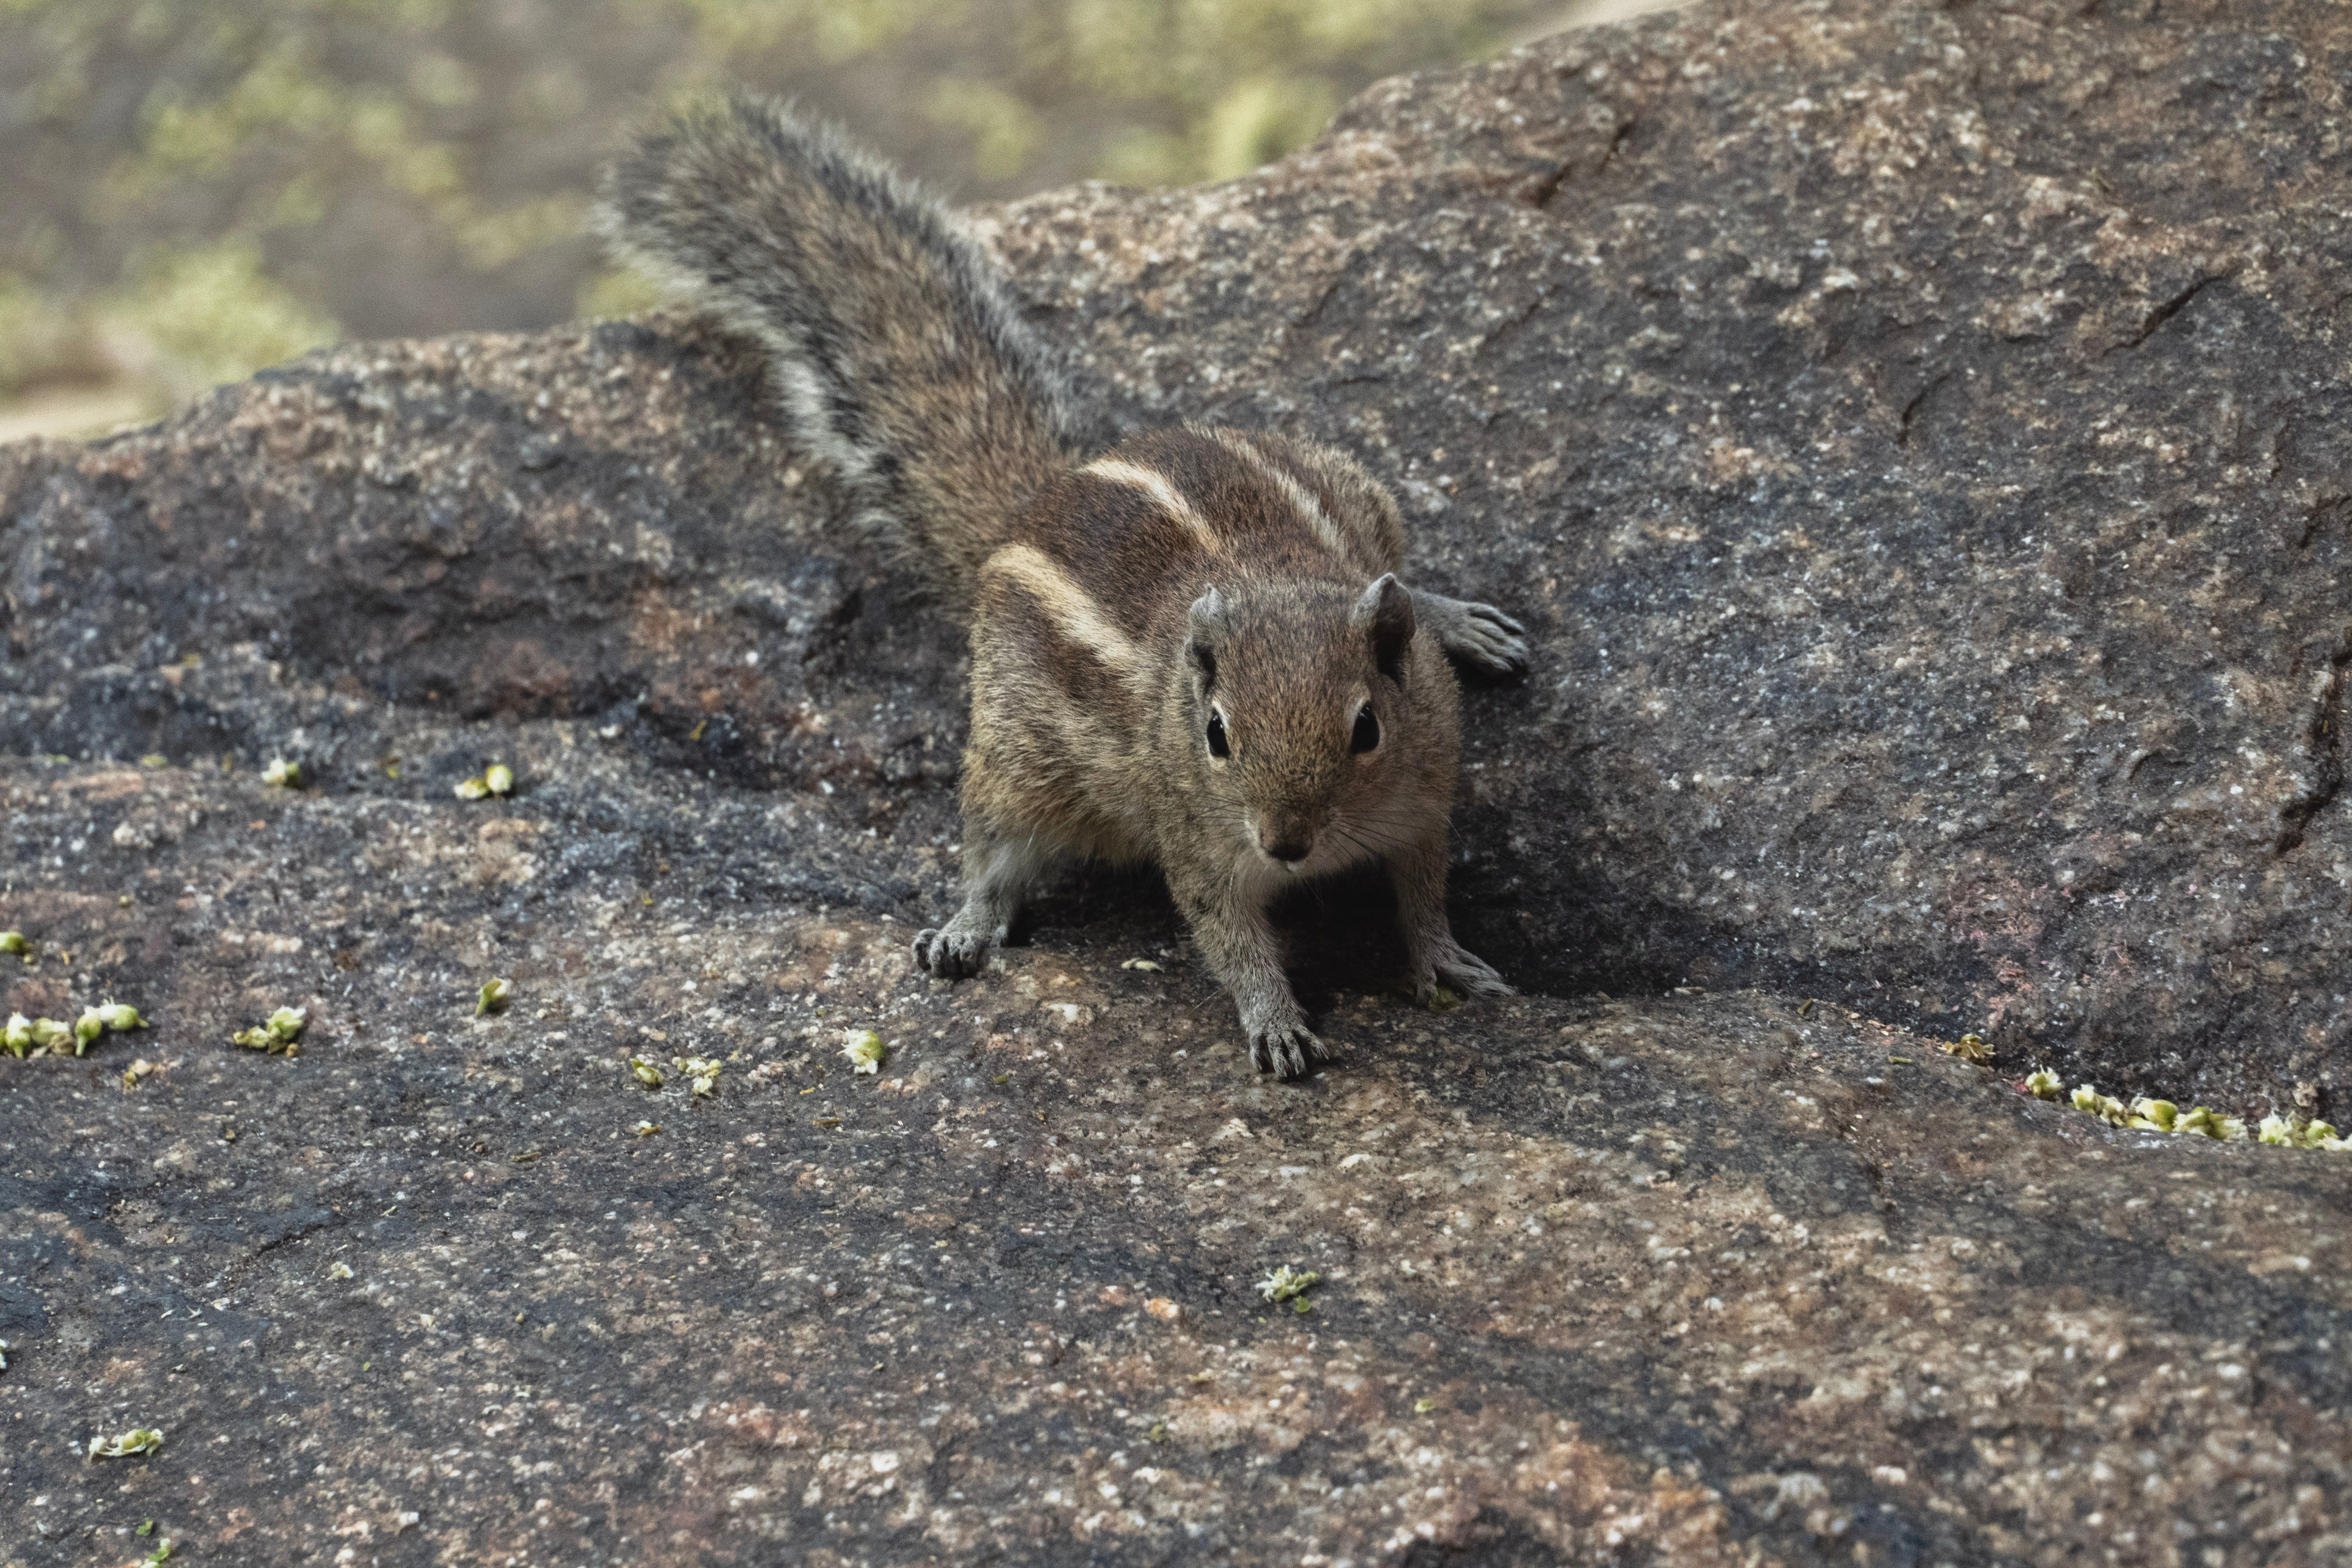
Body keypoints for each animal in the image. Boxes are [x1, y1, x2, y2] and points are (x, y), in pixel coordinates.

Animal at [599, 95, 1529, 1079]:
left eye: (1367, 728)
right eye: (1215, 733)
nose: (1286, 841)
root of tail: (1040, 495)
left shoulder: (1426, 786)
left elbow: (1423, 890)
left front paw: (1444, 958)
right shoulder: (1196, 840)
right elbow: (1230, 940)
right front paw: (1274, 1020)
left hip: (1360, 490)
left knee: (1400, 570)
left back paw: (1461, 622)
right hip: (1014, 748)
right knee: (991, 842)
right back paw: (963, 929)